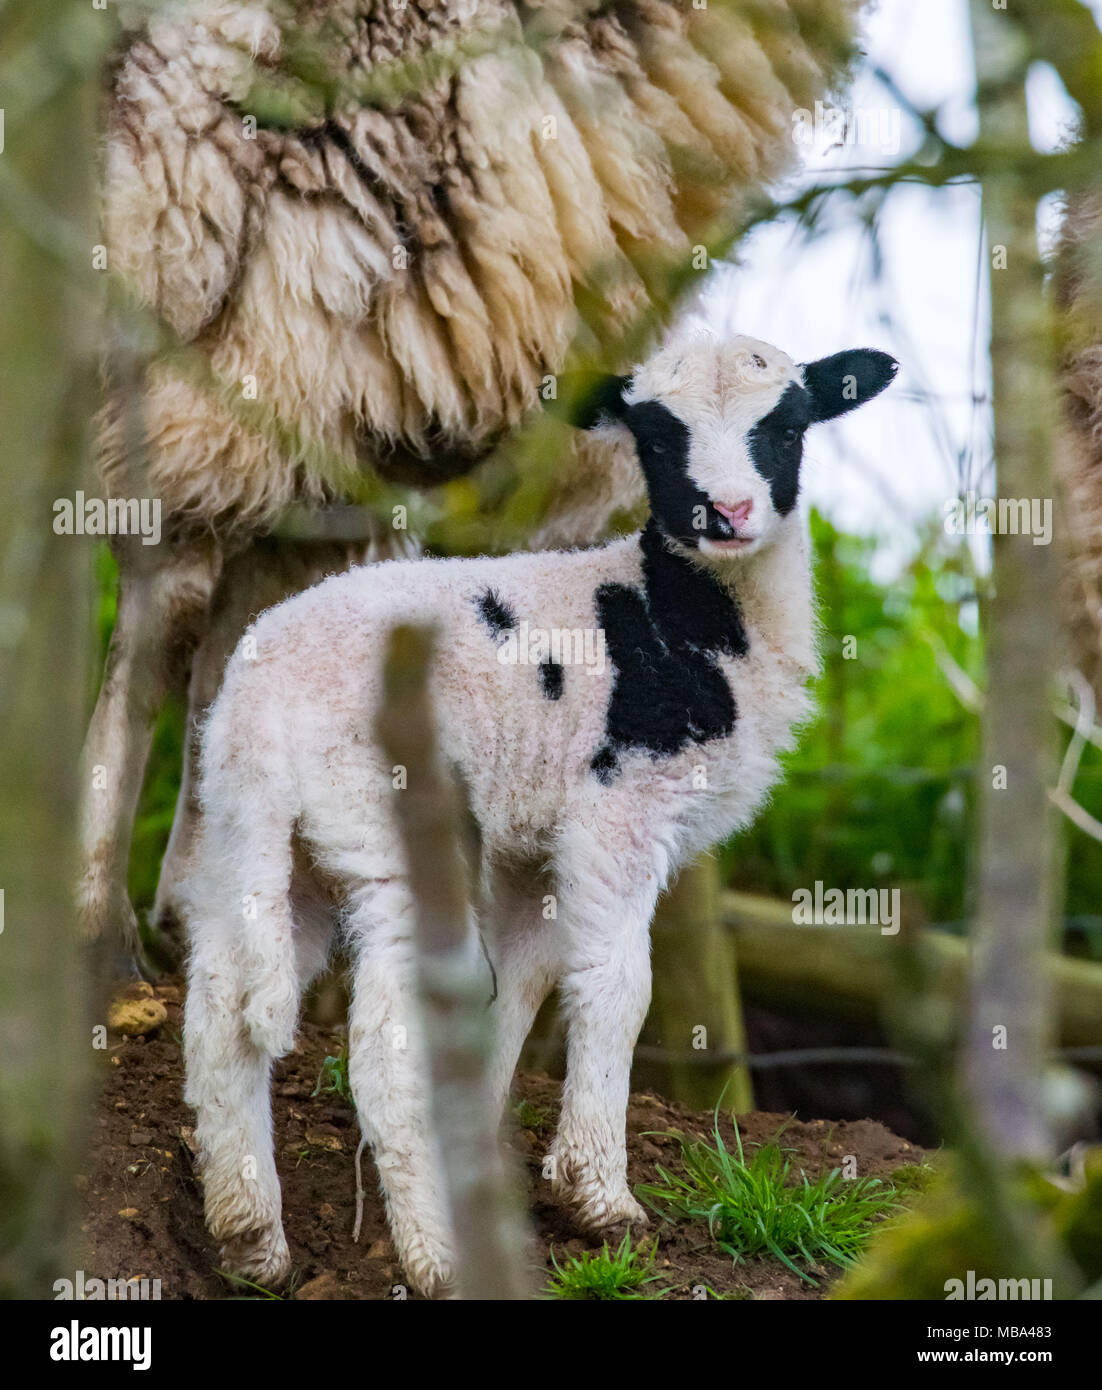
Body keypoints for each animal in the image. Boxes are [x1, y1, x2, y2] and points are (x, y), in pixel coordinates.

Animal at [82, 0, 867, 955]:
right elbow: (176, 610)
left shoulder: (325, 416)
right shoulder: (262, 317)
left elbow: (254, 630)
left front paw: (206, 899)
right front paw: (103, 912)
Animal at [183, 331, 898, 1295]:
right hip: (381, 824)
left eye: (787, 427)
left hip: (255, 835)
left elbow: (517, 987)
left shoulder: (531, 839)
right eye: (656, 439)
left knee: (222, 1010)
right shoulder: (618, 809)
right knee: (381, 1047)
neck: (687, 620)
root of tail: (264, 705)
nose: (727, 511)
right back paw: (437, 1257)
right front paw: (597, 1196)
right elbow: (616, 989)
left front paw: (485, 1152)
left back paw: (251, 1238)